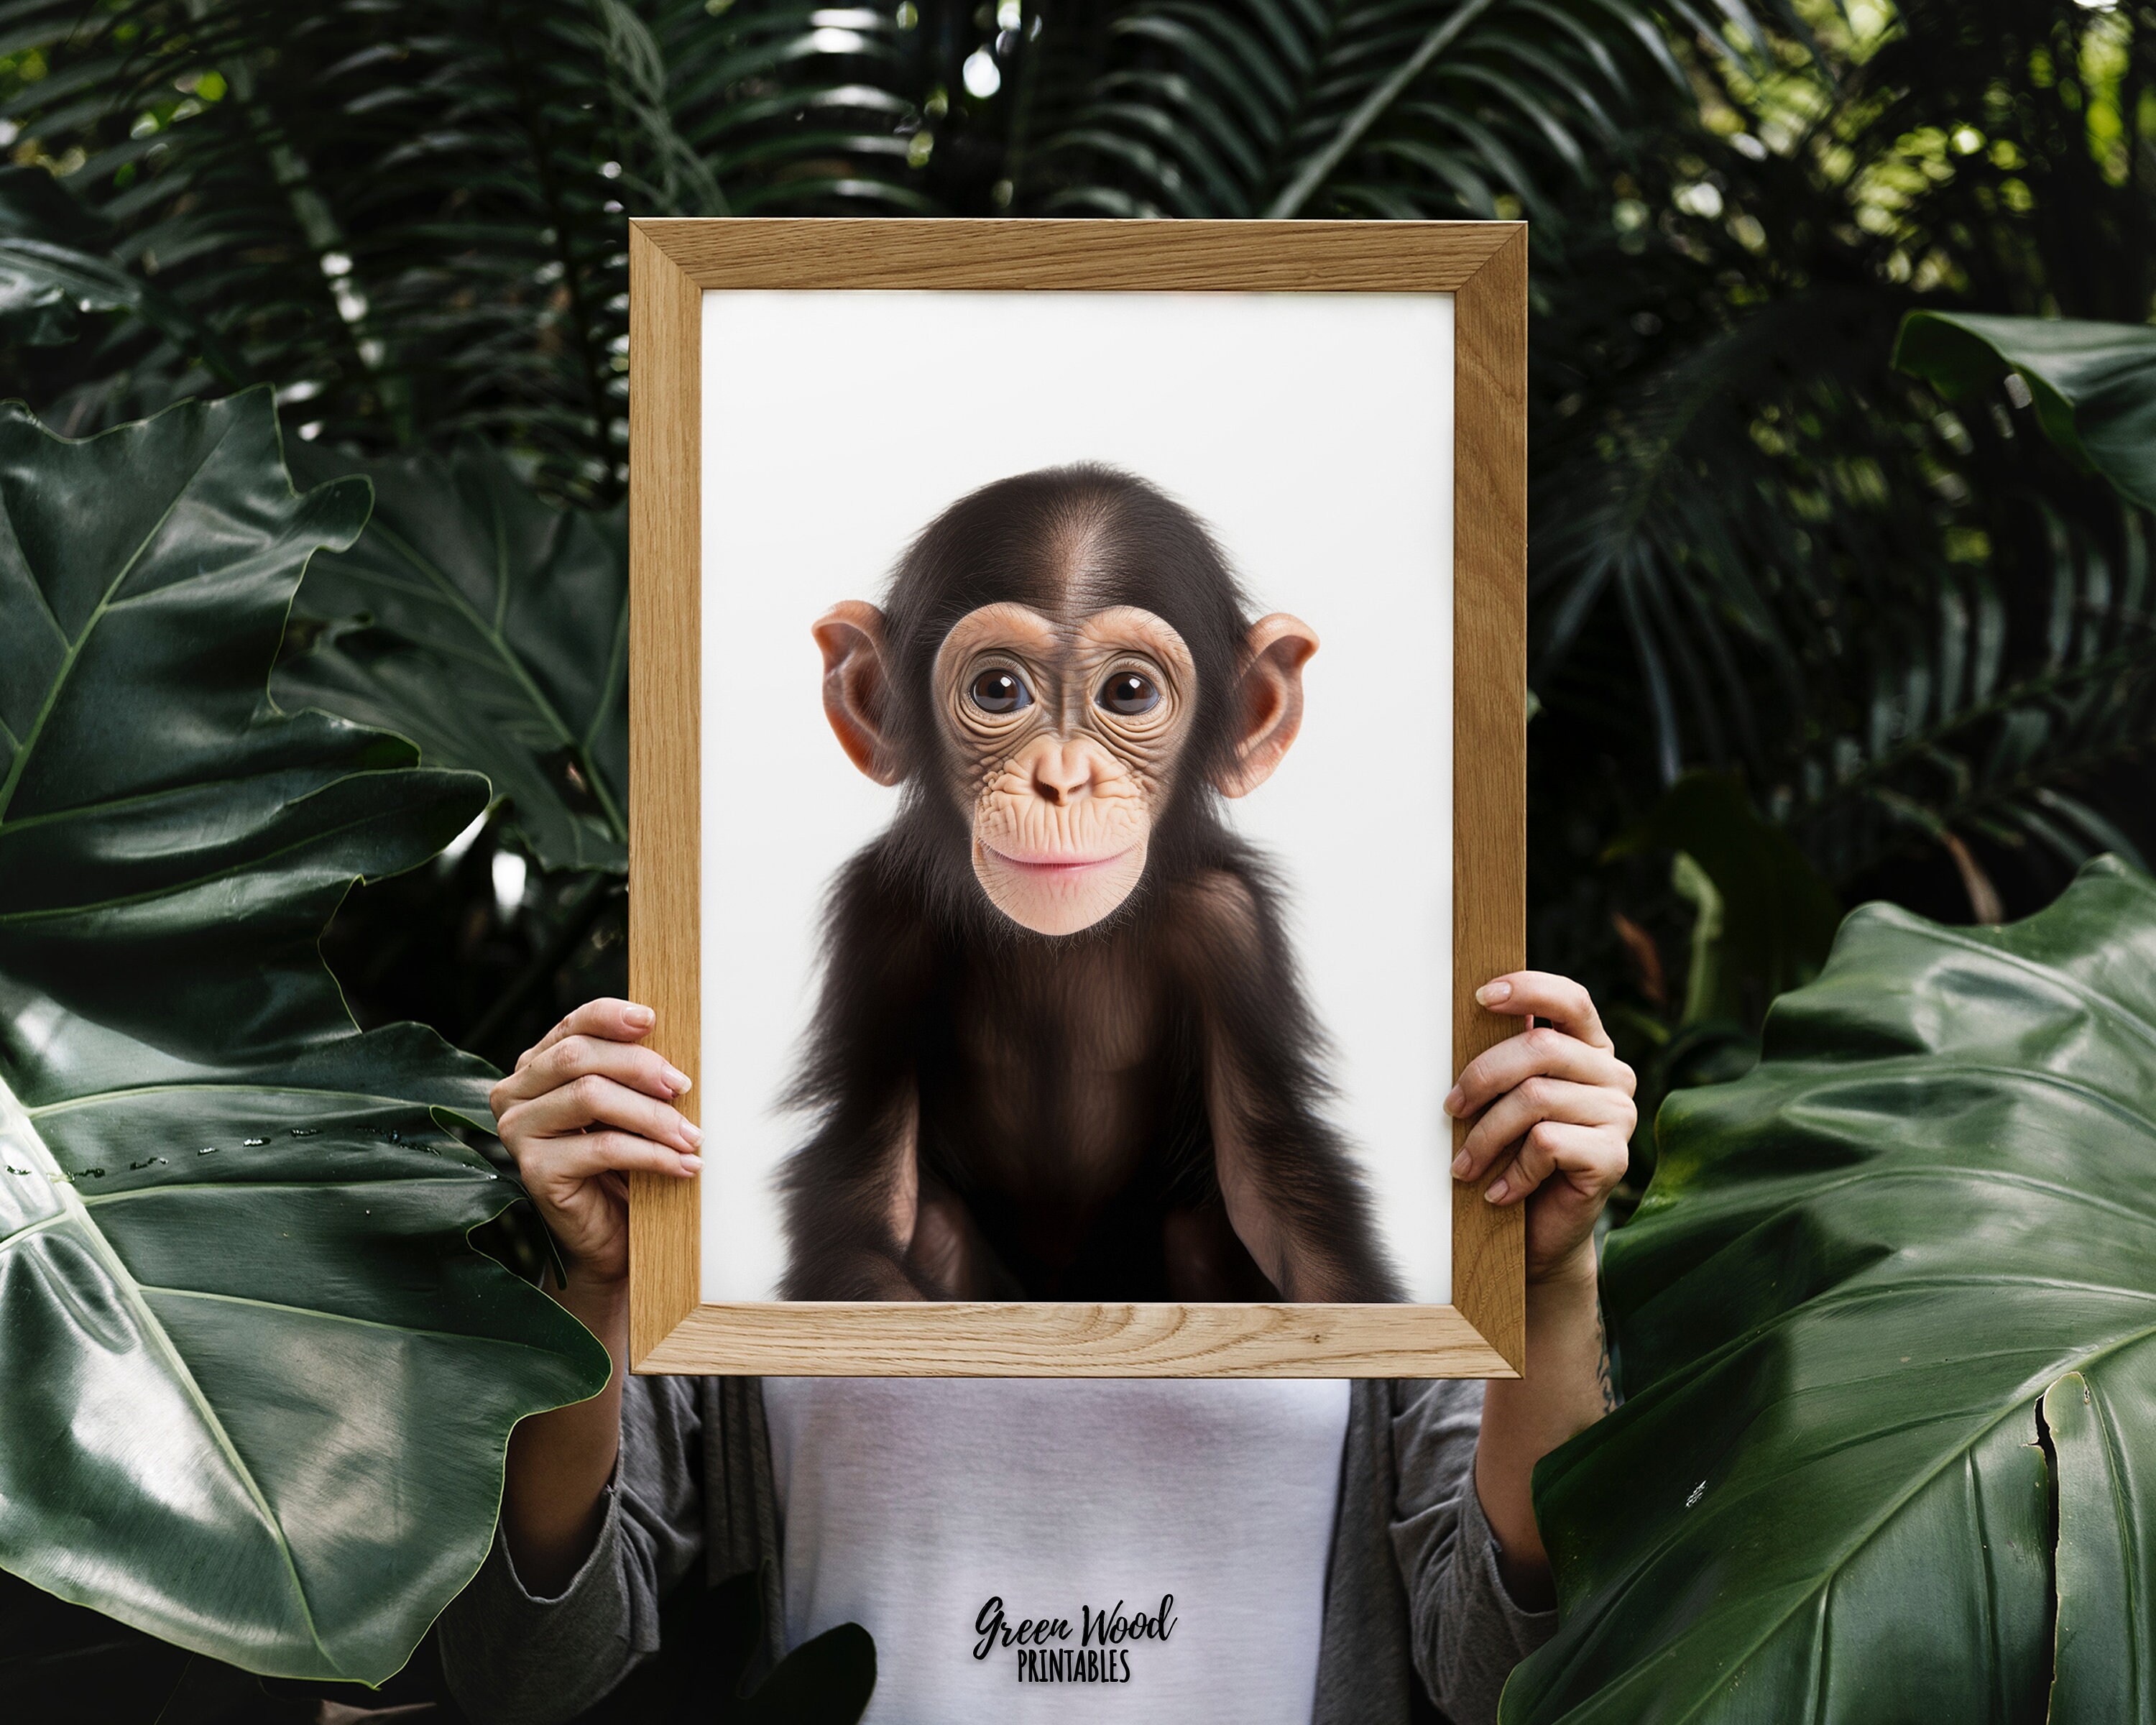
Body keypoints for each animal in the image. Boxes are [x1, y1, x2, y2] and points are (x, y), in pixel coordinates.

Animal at [777, 464, 1404, 1304]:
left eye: (1130, 692)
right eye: (999, 689)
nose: (1063, 780)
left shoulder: (1231, 929)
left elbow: (1276, 1183)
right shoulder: (877, 923)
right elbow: (860, 1201)